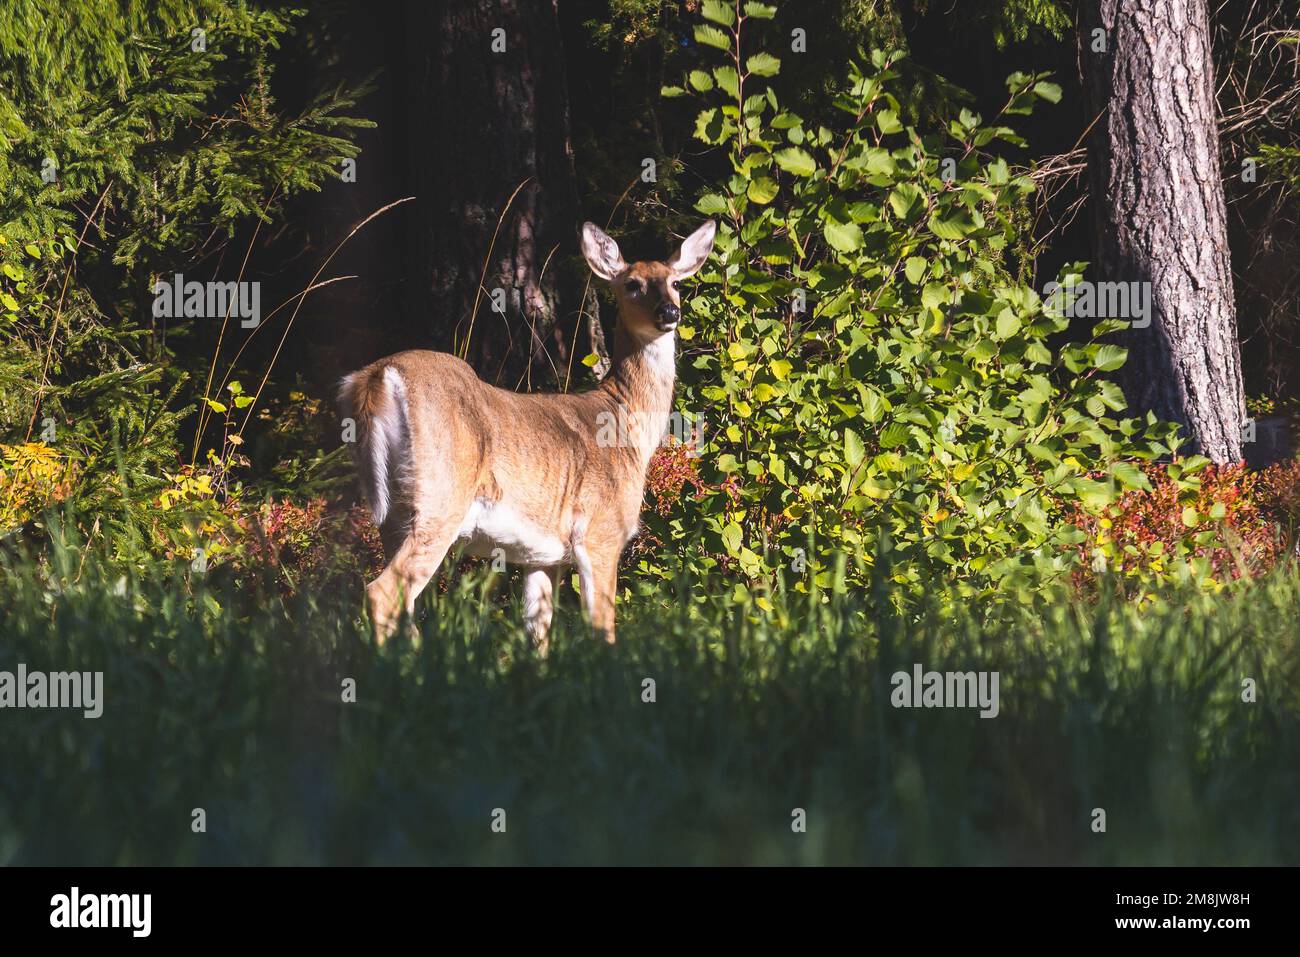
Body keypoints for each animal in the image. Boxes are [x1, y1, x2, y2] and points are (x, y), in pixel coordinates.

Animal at [338, 220, 717, 649]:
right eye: (632, 284)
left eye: (675, 282)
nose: (669, 311)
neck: (626, 424)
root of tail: (377, 377)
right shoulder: (601, 531)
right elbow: (603, 629)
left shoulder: (543, 556)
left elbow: (538, 633)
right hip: (441, 497)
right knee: (382, 593)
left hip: (392, 512)